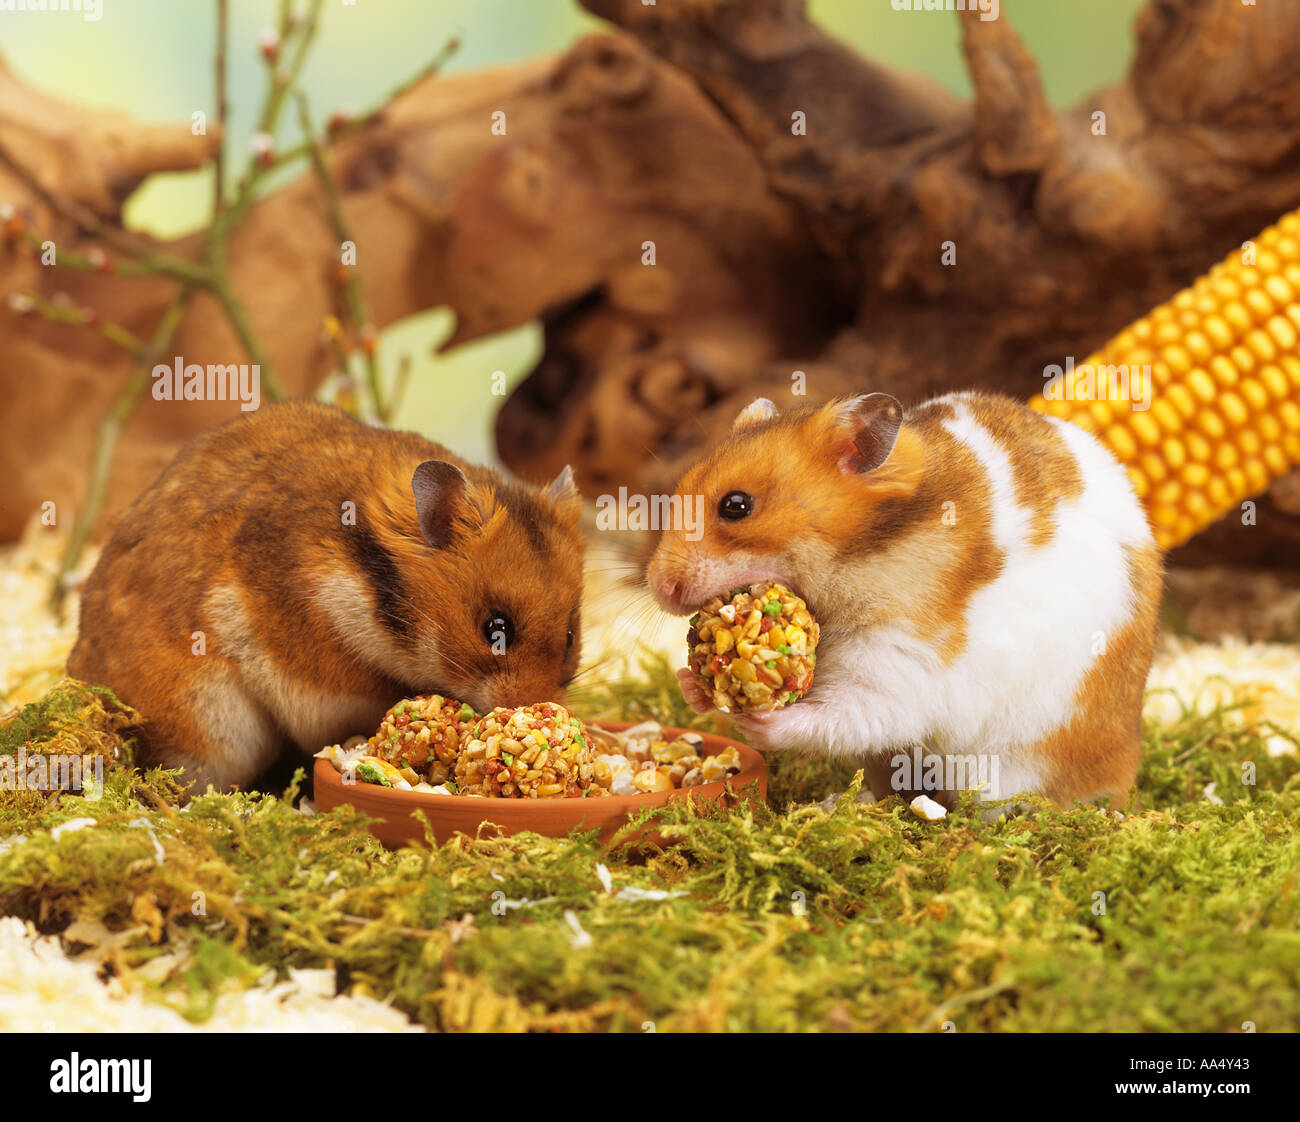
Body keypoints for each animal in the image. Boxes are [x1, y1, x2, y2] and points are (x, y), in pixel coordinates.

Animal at [67, 401, 585, 791]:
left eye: (570, 636)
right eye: (495, 628)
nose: (538, 707)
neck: (366, 574)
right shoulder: (317, 676)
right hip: (206, 728)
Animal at [647, 391, 1163, 809]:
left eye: (736, 505)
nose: (659, 588)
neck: (859, 557)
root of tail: (1125, 772)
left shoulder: (900, 665)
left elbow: (845, 714)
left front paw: (755, 724)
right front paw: (690, 683)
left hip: (1020, 764)